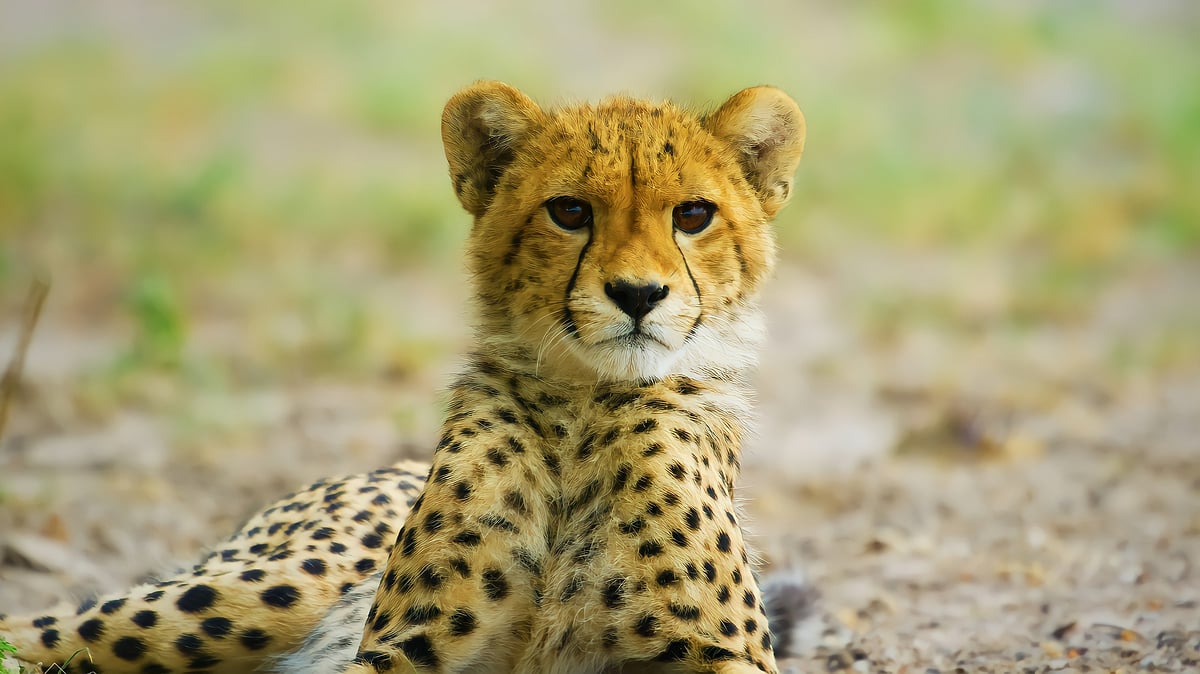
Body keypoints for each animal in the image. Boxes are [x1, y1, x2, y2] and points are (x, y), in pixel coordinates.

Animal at [1, 80, 806, 674]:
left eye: (693, 214)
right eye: (570, 211)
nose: (638, 294)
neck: (586, 405)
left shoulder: (721, 655)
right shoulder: (406, 648)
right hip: (266, 593)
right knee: (42, 626)